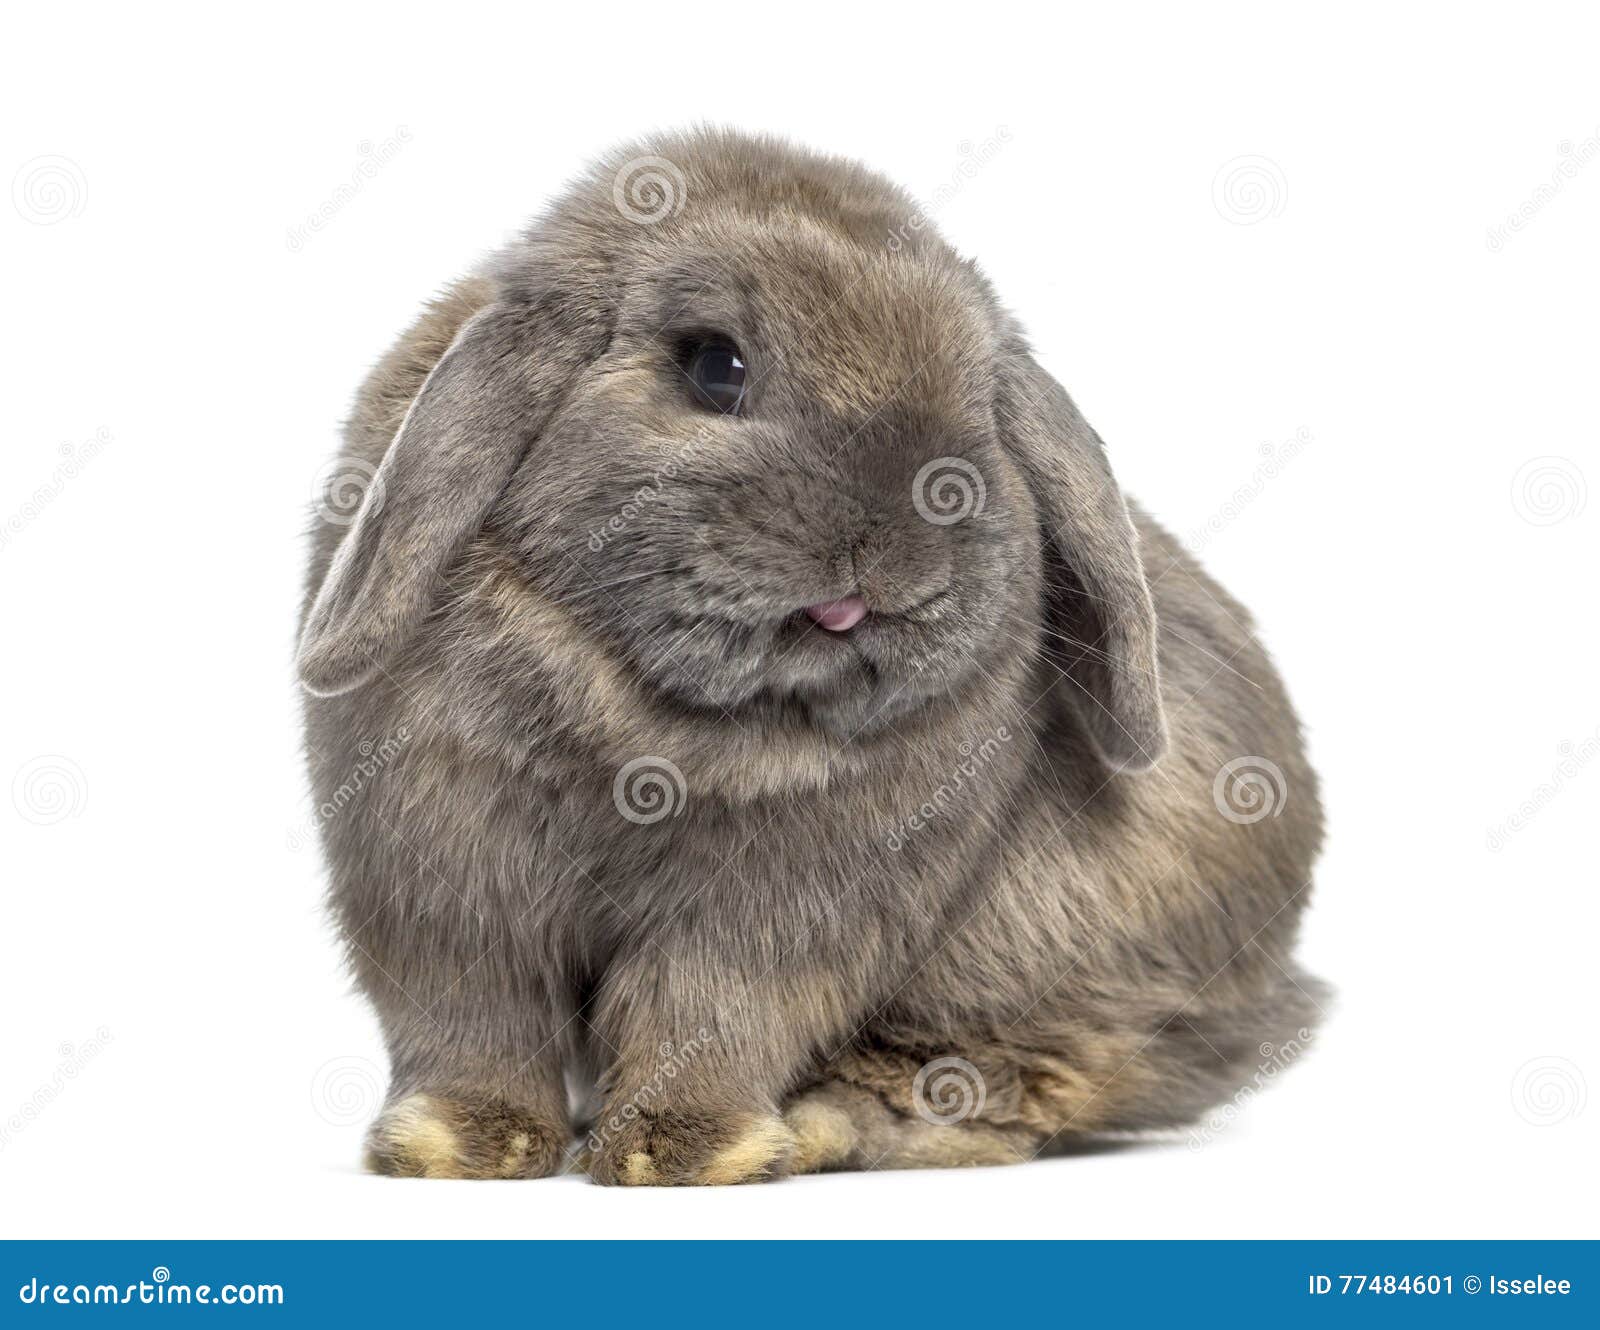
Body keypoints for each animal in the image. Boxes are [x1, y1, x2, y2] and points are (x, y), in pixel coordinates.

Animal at [298, 127, 1326, 1184]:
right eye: (716, 366)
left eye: (981, 402)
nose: (929, 501)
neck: (665, 720)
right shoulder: (440, 882)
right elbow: (475, 1016)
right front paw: (460, 1144)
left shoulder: (778, 921)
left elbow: (709, 1013)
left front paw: (684, 1152)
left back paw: (824, 1124)